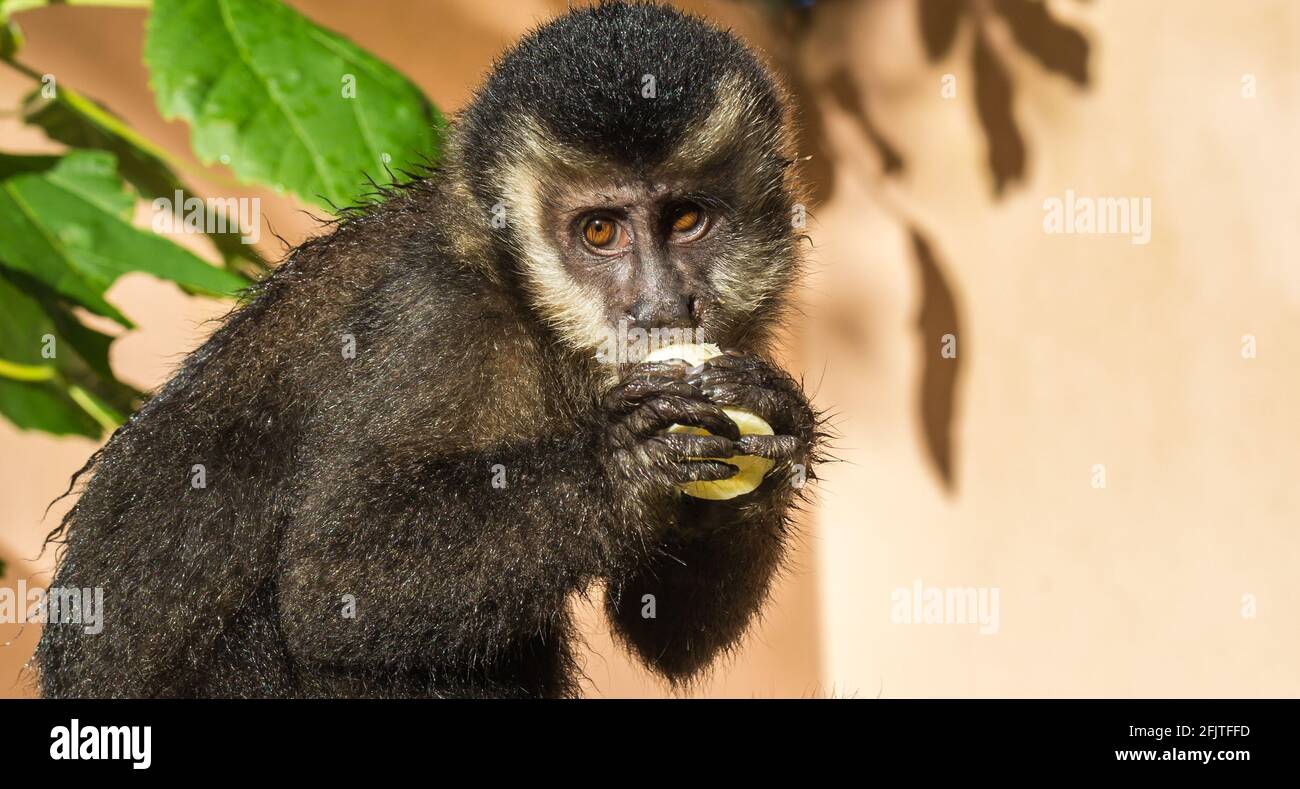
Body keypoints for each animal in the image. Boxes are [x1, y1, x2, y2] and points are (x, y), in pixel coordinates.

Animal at [33, 1, 824, 698]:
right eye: (600, 231)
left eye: (686, 219)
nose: (662, 307)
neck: (533, 313)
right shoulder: (438, 320)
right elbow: (331, 586)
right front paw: (625, 461)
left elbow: (669, 638)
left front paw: (779, 421)